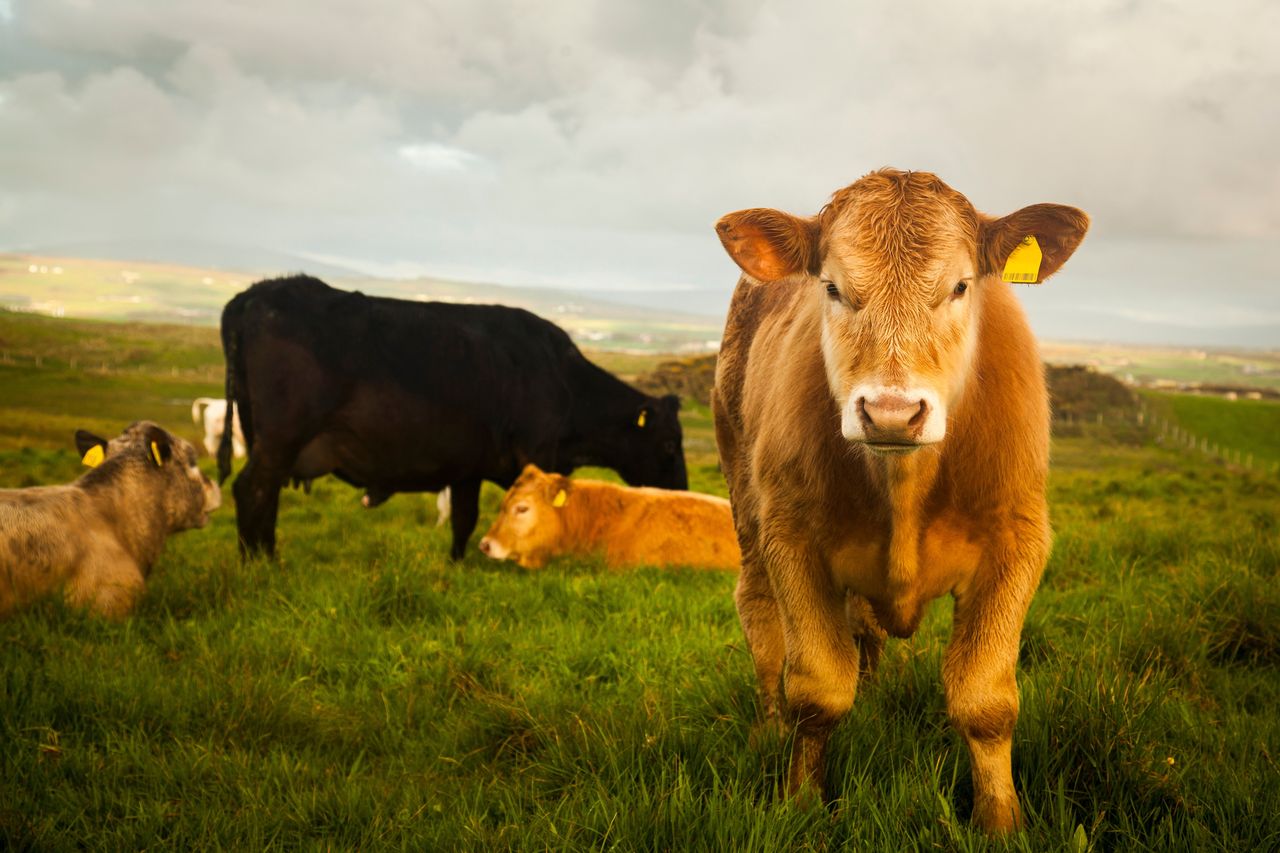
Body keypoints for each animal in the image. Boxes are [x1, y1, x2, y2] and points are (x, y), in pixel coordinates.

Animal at [218, 275, 688, 560]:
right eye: (667, 444)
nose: (683, 494)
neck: (565, 382)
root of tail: (256, 293)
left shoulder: (467, 467)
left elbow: (464, 519)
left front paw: (458, 563)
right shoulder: (535, 453)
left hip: (263, 437)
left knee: (266, 495)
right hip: (281, 438)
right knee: (251, 490)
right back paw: (259, 563)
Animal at [711, 168, 1088, 832]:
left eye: (961, 285)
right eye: (832, 288)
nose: (891, 412)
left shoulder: (1017, 541)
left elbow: (985, 699)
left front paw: (1000, 820)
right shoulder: (791, 540)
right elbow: (817, 691)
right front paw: (801, 803)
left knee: (866, 633)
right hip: (745, 504)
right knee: (761, 623)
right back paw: (766, 732)